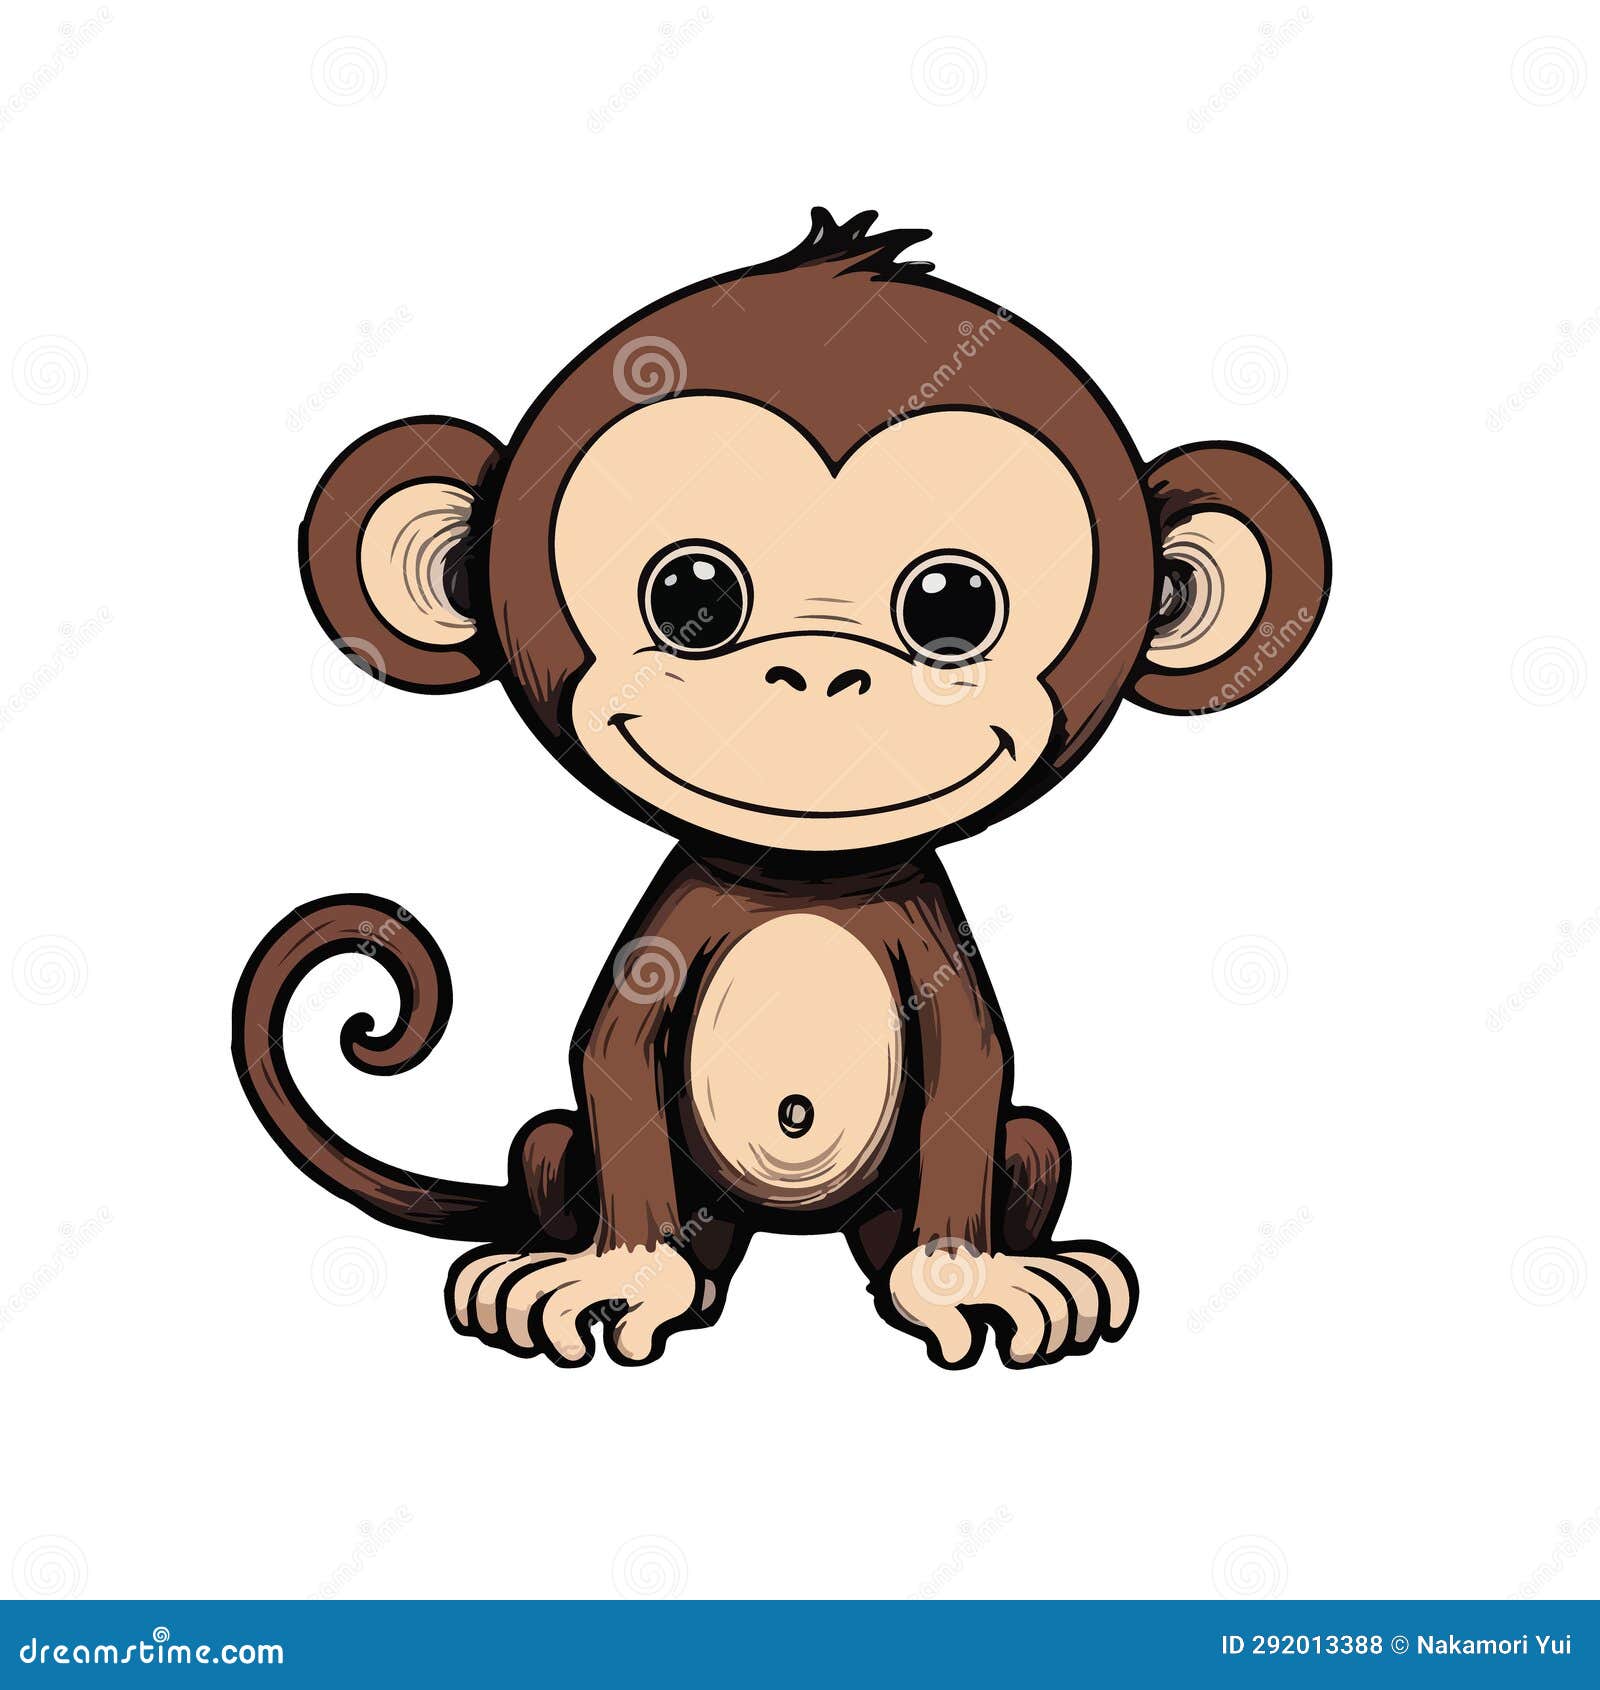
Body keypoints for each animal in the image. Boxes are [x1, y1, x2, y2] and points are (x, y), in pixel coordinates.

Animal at [233, 208, 1330, 1369]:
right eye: (692, 593)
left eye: (954, 603)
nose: (815, 672)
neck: (806, 879)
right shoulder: (672, 929)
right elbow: (611, 1060)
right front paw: (621, 1274)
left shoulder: (926, 940)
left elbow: (974, 1073)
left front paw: (966, 1278)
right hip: (593, 1168)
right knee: (555, 1145)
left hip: (972, 1173)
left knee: (1023, 1140)